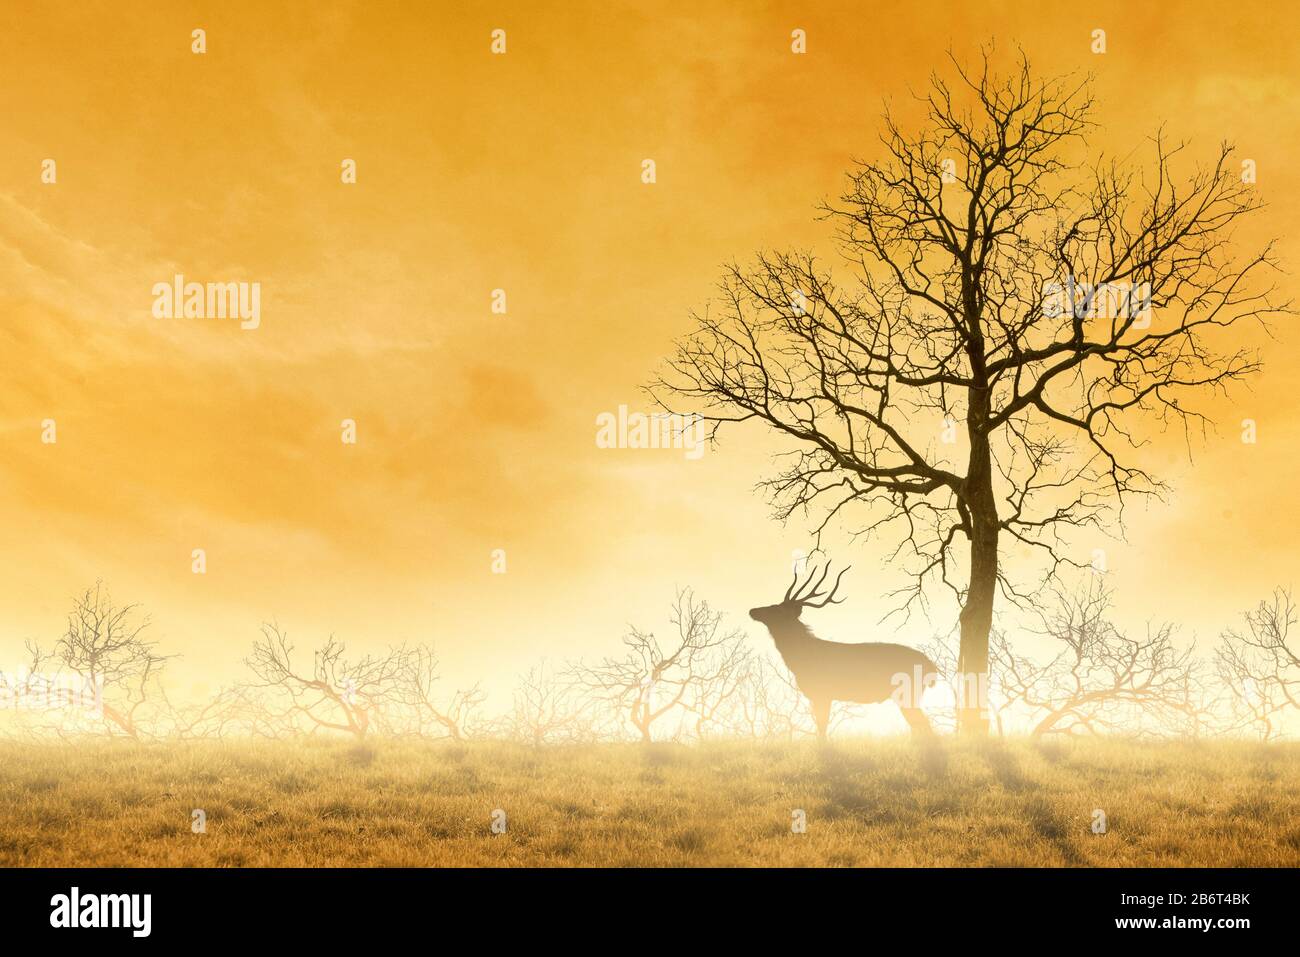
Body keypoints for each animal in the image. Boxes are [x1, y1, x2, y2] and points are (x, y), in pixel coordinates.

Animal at [749, 561, 939, 740]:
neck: (800, 659)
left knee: (926, 727)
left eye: (777, 608)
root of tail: (931, 667)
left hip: (908, 693)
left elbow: (822, 731)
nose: (752, 610)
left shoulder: (822, 693)